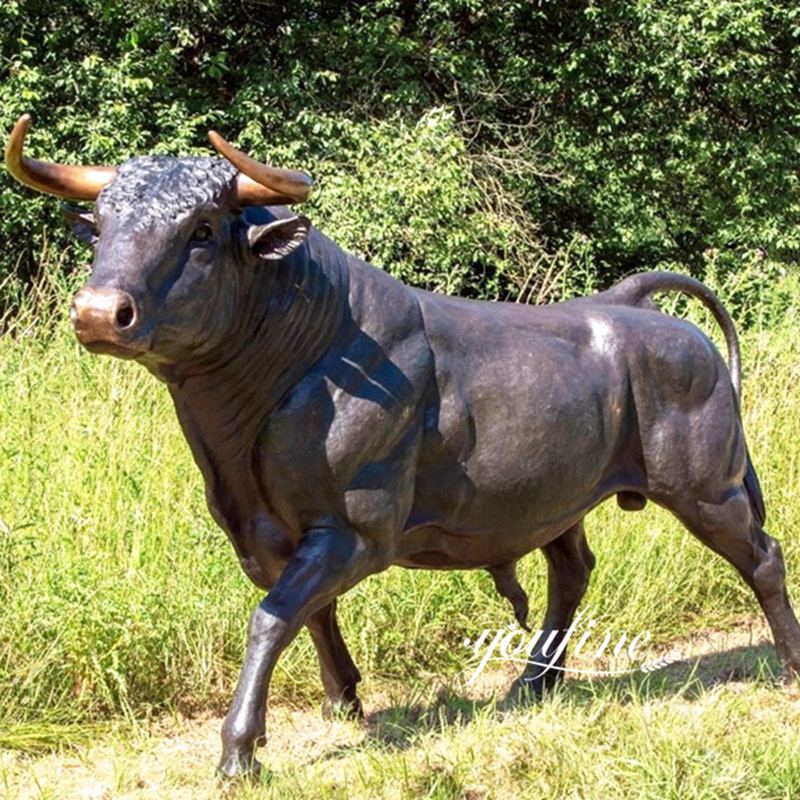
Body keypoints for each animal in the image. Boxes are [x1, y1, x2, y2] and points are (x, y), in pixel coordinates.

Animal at [6, 113, 800, 779]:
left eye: (202, 229)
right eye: (101, 226)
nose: (98, 312)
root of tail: (632, 306)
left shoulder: (356, 529)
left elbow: (271, 619)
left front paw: (238, 751)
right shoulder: (269, 530)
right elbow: (308, 614)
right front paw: (342, 702)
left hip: (708, 487)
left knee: (763, 556)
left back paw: (789, 664)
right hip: (556, 499)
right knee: (572, 572)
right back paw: (532, 684)